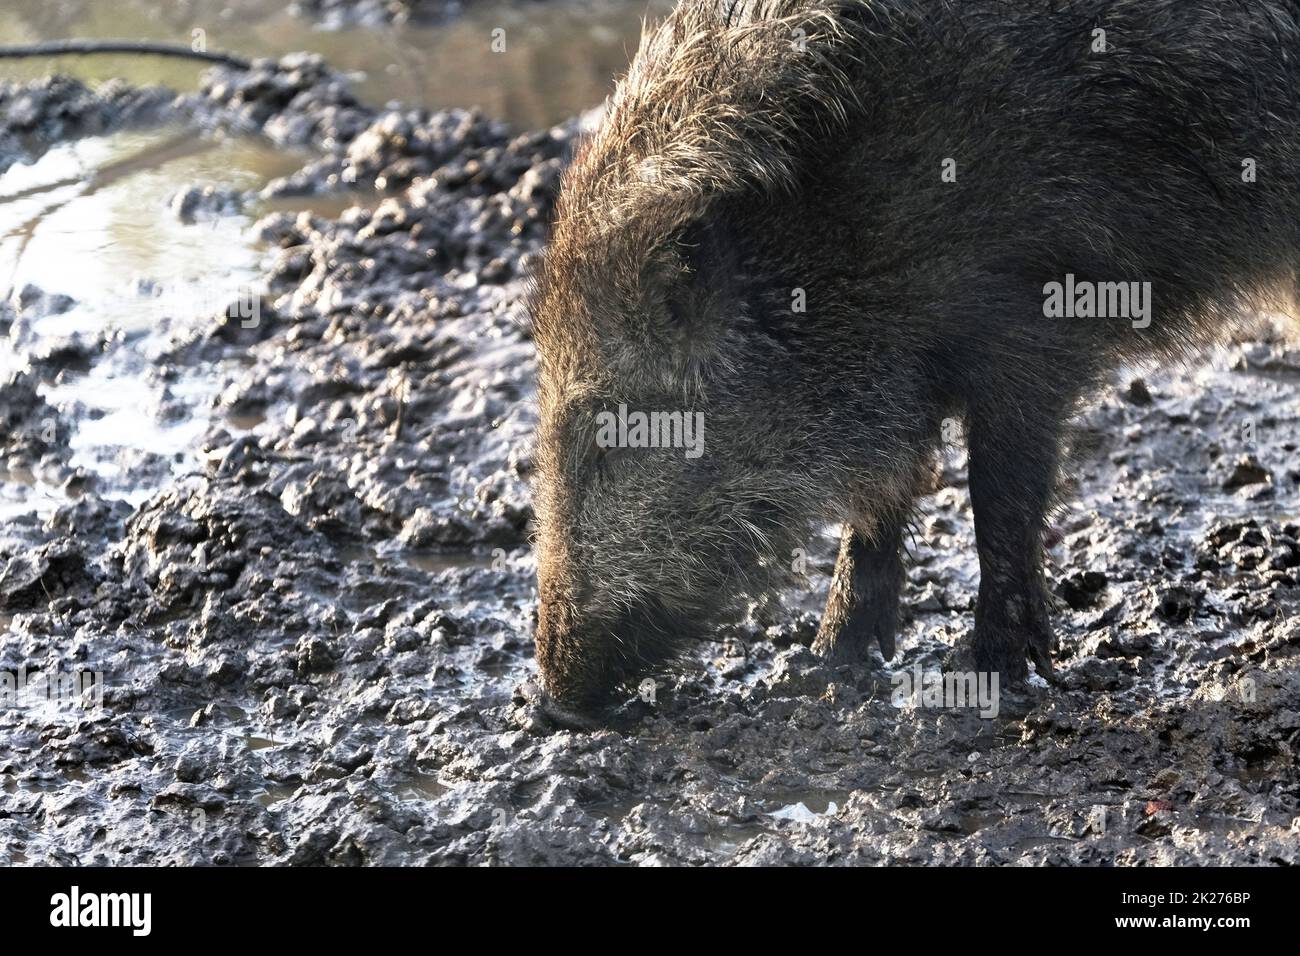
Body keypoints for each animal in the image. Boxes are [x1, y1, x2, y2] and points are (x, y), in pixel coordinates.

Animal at [528, 0, 1300, 712]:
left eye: (607, 437)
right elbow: (881, 496)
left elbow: (998, 495)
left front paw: (989, 673)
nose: (557, 699)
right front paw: (828, 662)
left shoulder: (1026, 322)